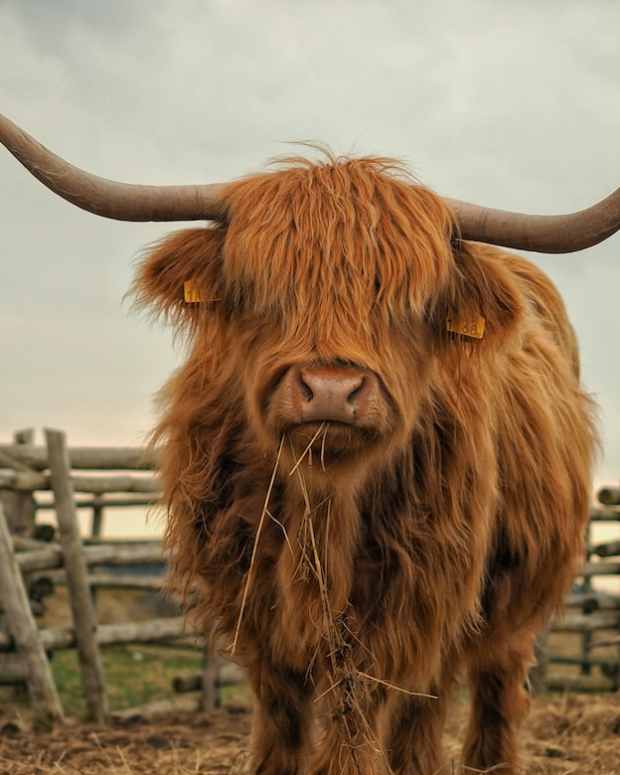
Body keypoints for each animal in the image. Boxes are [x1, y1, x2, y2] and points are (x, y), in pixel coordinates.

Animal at [1, 113, 619, 774]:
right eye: (262, 291)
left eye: (406, 302)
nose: (330, 389)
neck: (322, 506)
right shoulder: (252, 604)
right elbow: (282, 717)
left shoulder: (407, 604)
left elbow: (360, 714)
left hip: (509, 598)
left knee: (480, 693)